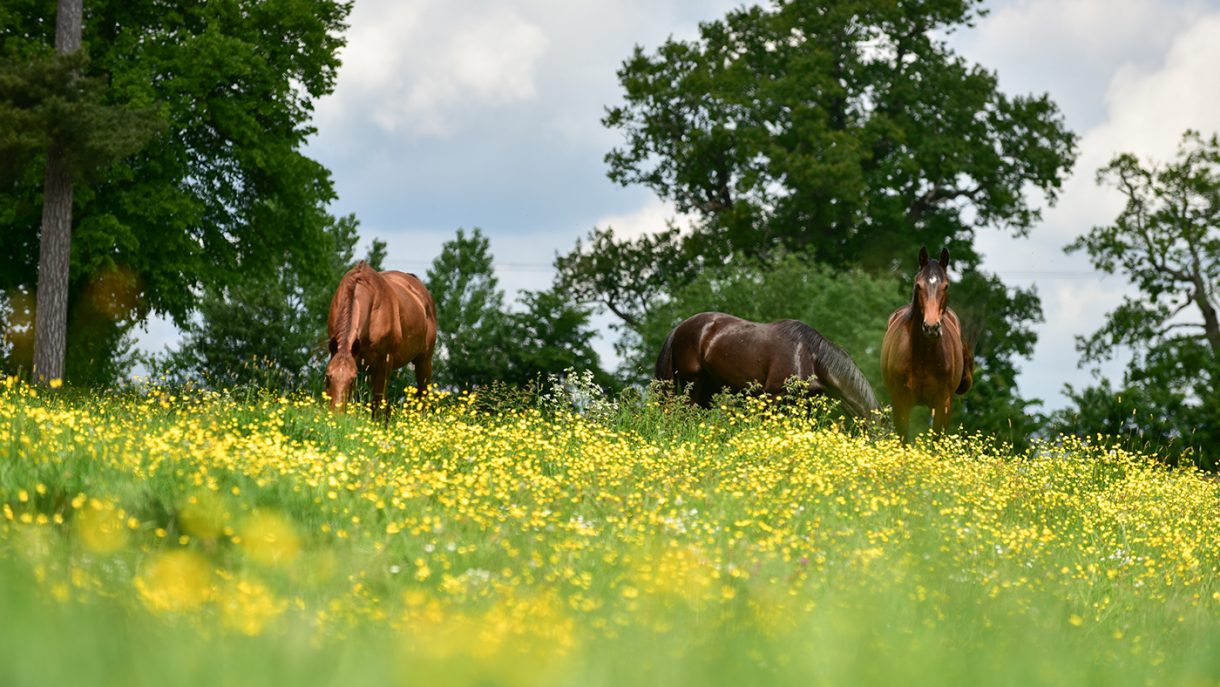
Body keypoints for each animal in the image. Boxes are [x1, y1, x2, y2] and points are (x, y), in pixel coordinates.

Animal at [325, 261, 437, 417]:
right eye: (328, 376)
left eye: (352, 379)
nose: (337, 414)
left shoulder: (384, 361)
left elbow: (378, 405)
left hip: (424, 361)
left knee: (423, 396)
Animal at [880, 247, 974, 441]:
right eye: (919, 285)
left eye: (946, 286)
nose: (931, 327)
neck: (922, 355)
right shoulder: (901, 402)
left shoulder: (942, 405)